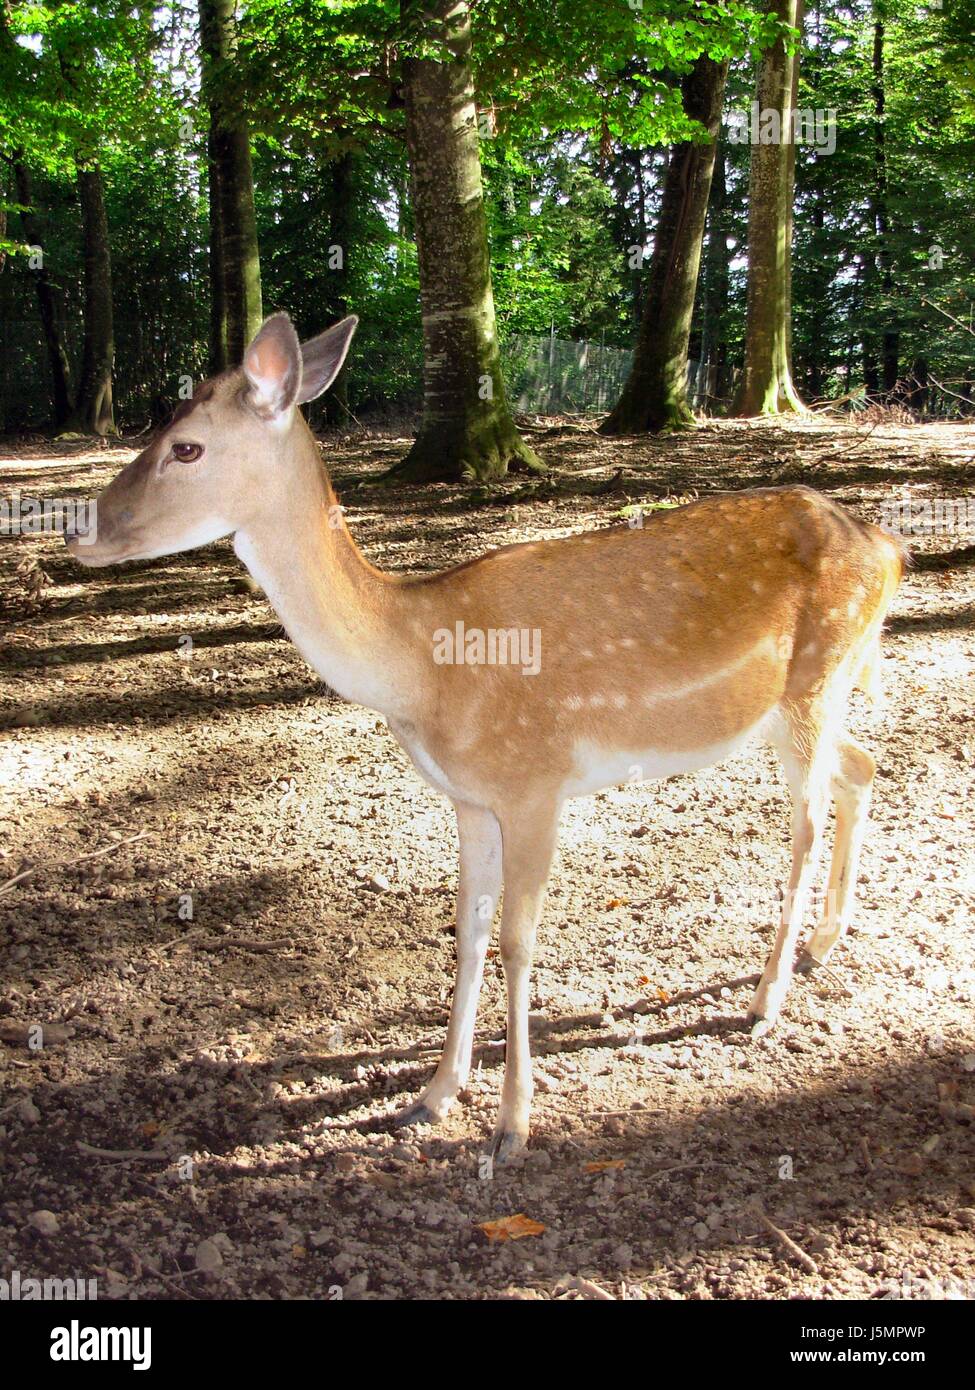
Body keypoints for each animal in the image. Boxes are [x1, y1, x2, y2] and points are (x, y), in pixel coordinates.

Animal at [67, 313, 904, 1162]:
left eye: (187, 446)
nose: (78, 529)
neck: (423, 671)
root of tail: (888, 545)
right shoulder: (467, 798)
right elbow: (465, 933)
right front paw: (434, 1094)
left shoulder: (534, 782)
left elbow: (515, 940)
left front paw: (511, 1125)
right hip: (793, 706)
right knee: (864, 766)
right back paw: (825, 941)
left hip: (813, 682)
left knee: (806, 821)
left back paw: (766, 998)